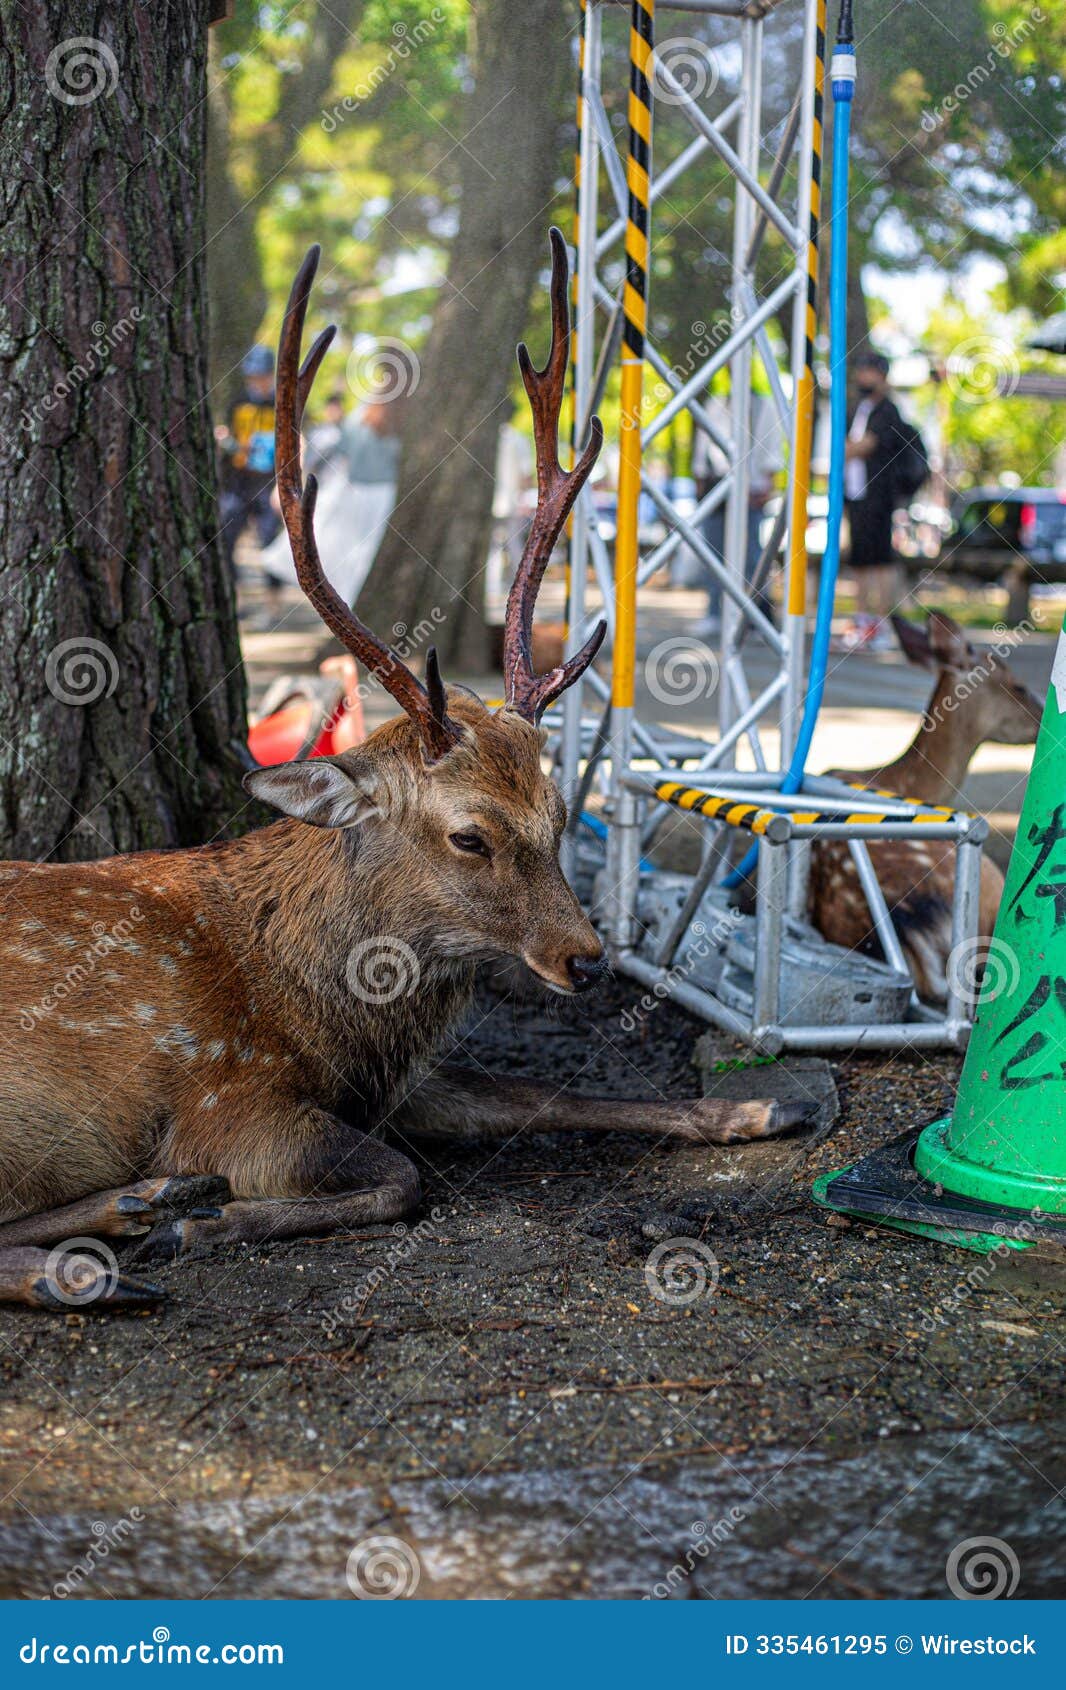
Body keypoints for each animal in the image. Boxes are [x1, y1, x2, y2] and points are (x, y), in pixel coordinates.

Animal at [0, 234, 816, 1312]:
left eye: (562, 812)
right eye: (468, 832)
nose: (590, 958)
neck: (329, 1014)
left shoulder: (396, 1085)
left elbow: (541, 1089)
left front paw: (758, 1112)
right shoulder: (230, 1095)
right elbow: (400, 1179)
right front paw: (212, 1220)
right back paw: (115, 1241)